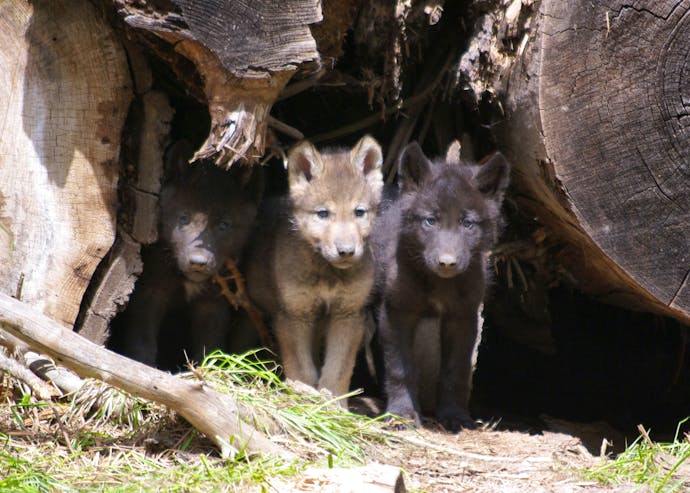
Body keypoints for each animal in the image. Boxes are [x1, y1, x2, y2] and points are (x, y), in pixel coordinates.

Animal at [114, 140, 262, 368]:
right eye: (184, 218)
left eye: (224, 225)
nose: (198, 262)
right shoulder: (150, 289)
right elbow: (143, 337)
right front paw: (141, 365)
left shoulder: (213, 302)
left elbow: (210, 345)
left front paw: (208, 368)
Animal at [245, 135, 384, 405]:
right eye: (323, 213)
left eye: (359, 212)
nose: (346, 251)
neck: (327, 274)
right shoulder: (293, 315)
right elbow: (302, 370)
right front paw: (303, 399)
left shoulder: (348, 314)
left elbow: (337, 369)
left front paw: (333, 405)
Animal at [373, 141, 509, 431]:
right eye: (430, 220)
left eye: (467, 223)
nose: (447, 263)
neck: (439, 284)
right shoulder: (396, 311)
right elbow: (400, 368)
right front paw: (402, 414)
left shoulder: (462, 316)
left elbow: (455, 371)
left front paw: (455, 416)